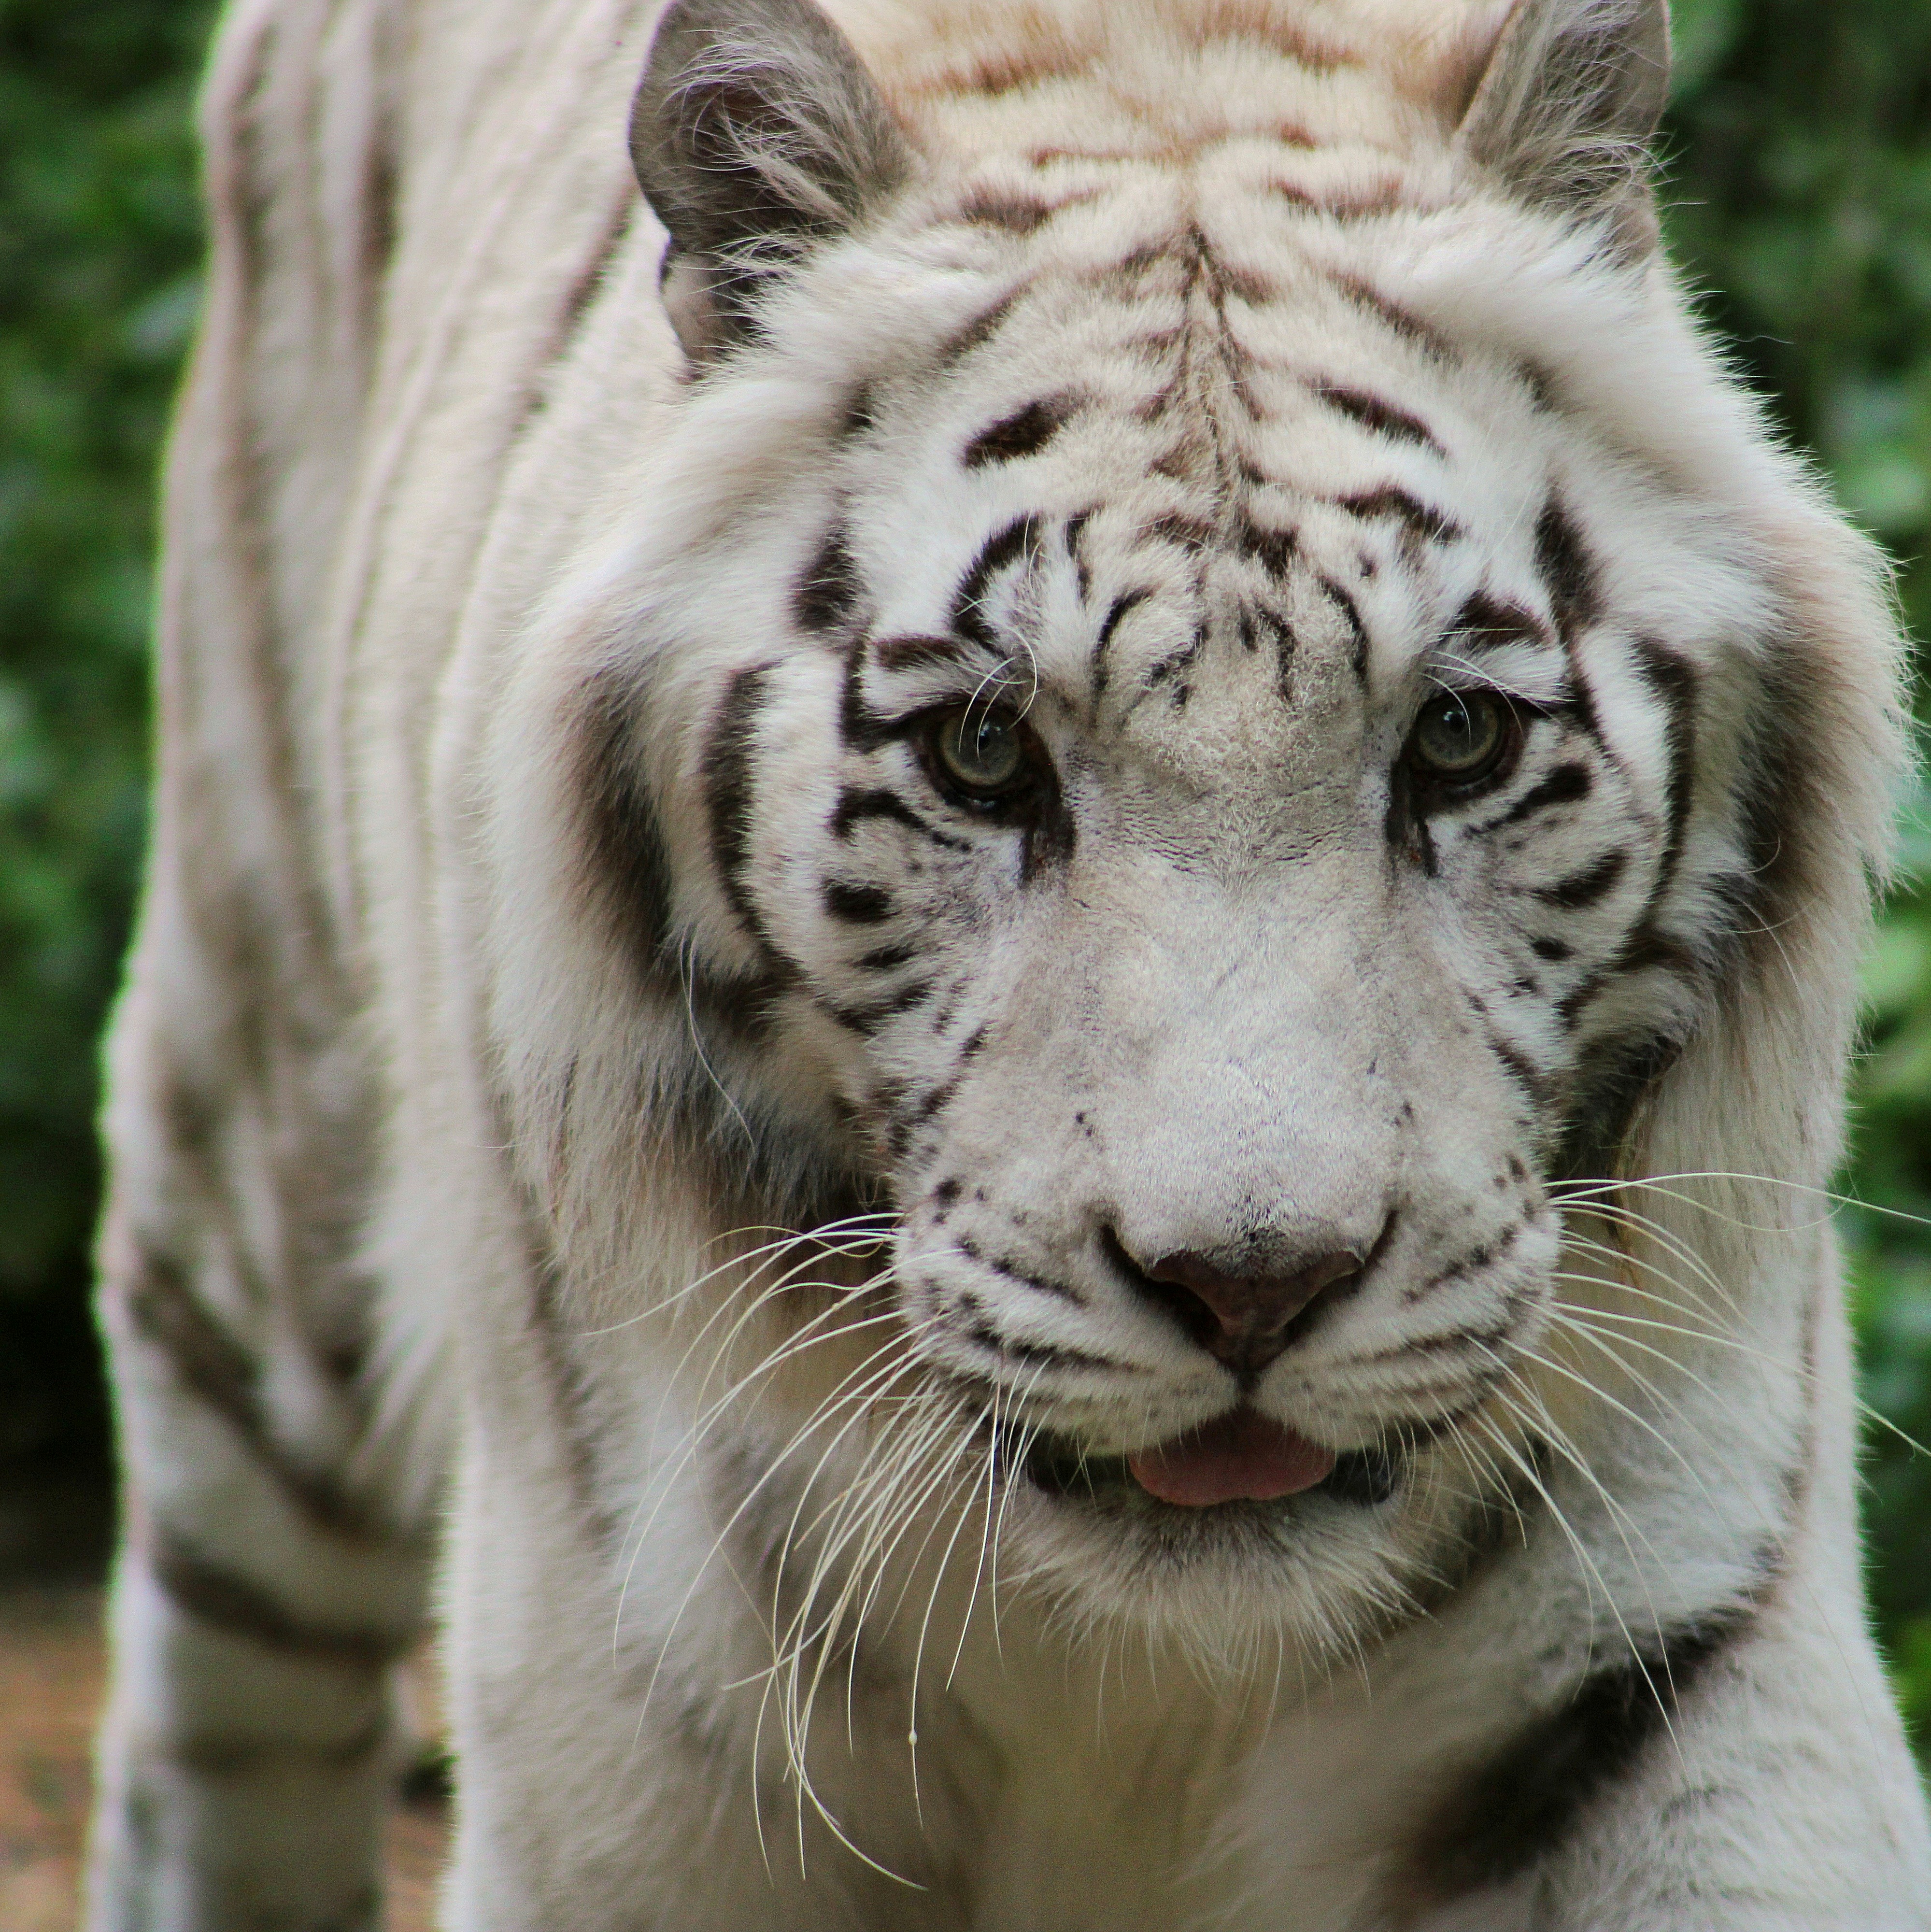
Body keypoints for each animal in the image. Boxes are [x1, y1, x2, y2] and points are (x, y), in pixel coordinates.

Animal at [84, 0, 1931, 1925]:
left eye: (1458, 739)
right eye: (983, 752)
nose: (1252, 1286)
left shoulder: (1678, 1654)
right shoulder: (632, 1740)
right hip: (258, 1223)